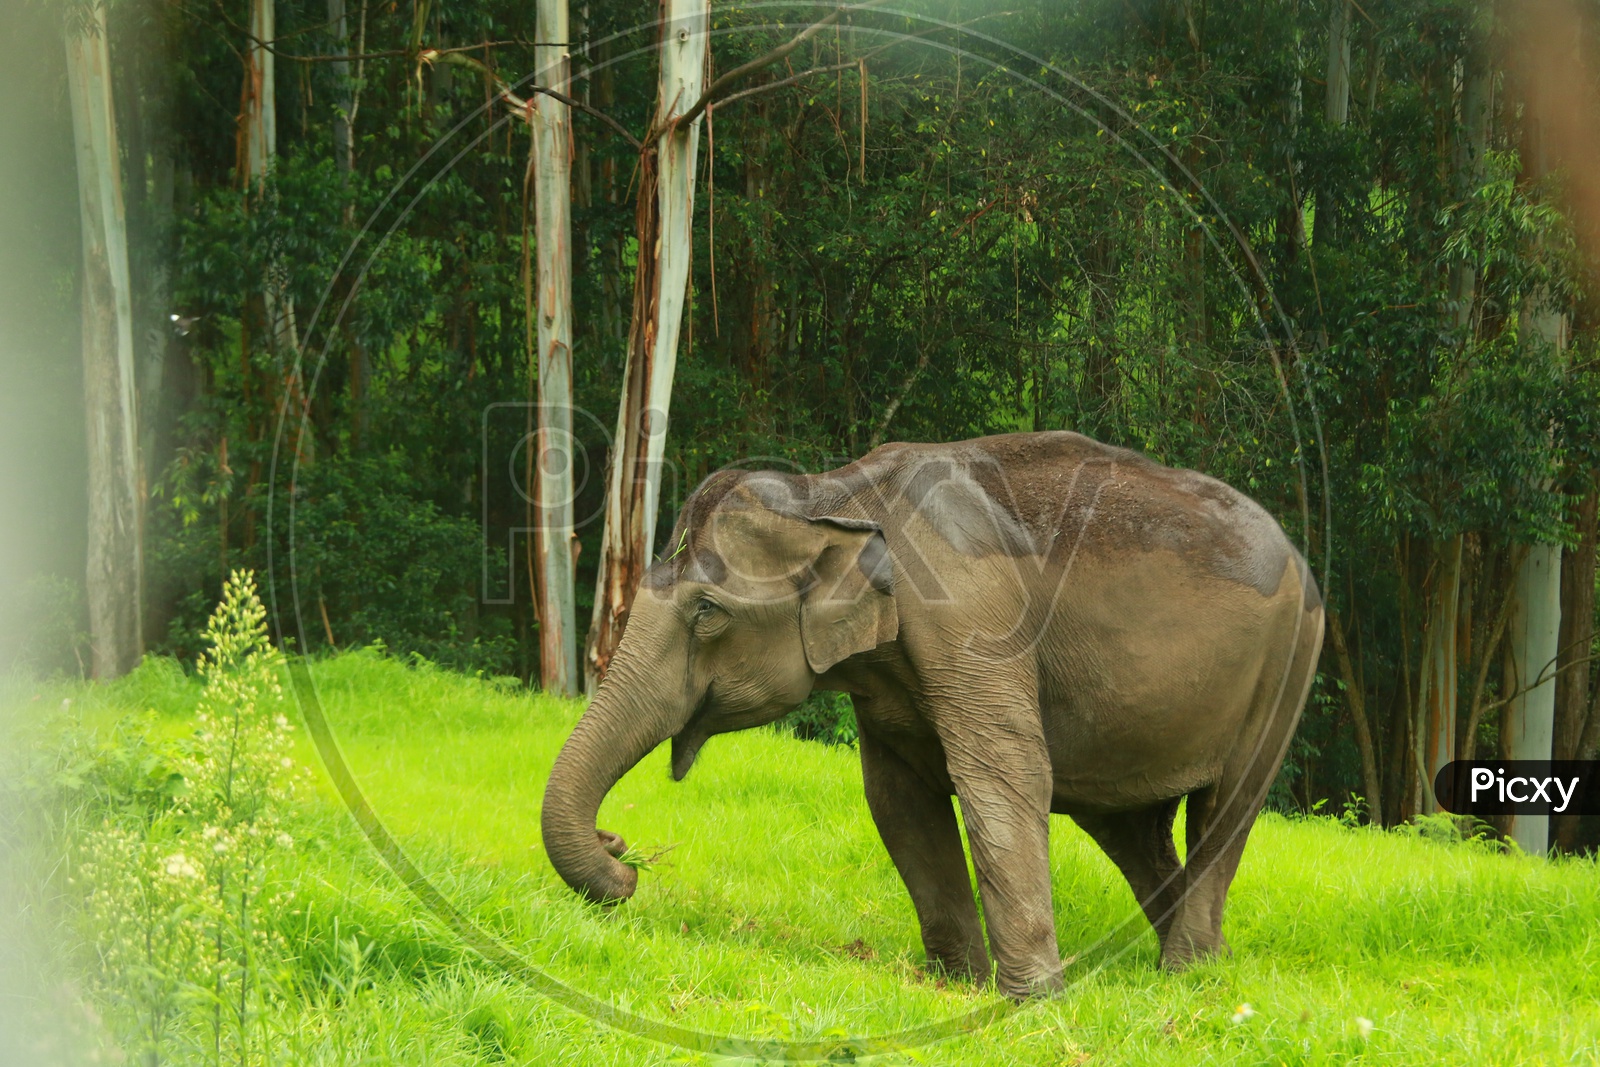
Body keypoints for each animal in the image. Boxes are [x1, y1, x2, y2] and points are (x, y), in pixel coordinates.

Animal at [541, 431, 1324, 999]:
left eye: (707, 611)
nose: (622, 854)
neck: (837, 492)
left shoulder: (971, 612)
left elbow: (1003, 777)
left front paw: (1031, 1002)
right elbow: (898, 799)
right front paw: (958, 985)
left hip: (1286, 668)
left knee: (1226, 810)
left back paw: (1187, 976)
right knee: (1131, 829)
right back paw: (1191, 966)